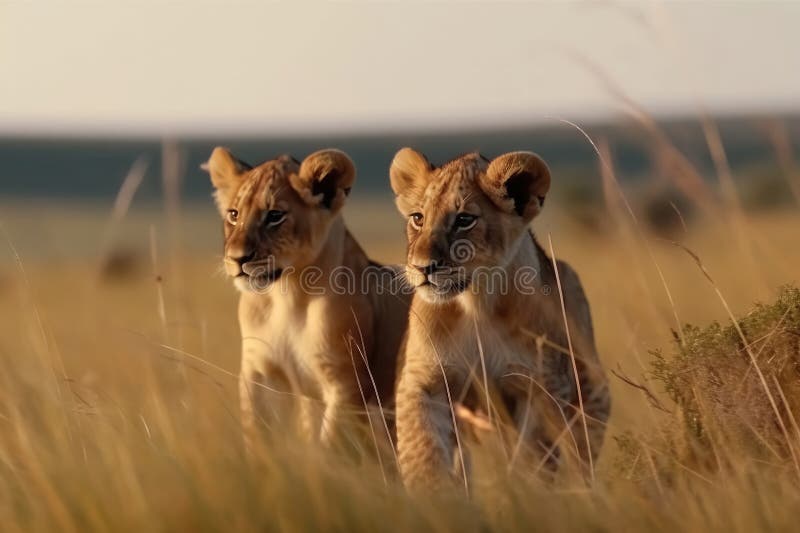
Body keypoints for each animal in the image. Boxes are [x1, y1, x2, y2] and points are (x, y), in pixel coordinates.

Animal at [203, 147, 409, 451]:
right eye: (233, 214)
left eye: (274, 215)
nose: (237, 258)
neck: (287, 297)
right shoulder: (260, 372)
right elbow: (257, 436)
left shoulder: (345, 384)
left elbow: (329, 447)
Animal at [389, 148, 611, 489]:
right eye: (418, 218)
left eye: (464, 220)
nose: (423, 267)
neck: (476, 302)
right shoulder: (422, 379)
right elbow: (423, 454)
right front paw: (434, 499)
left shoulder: (542, 386)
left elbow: (534, 458)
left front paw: (525, 493)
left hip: (594, 392)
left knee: (581, 459)